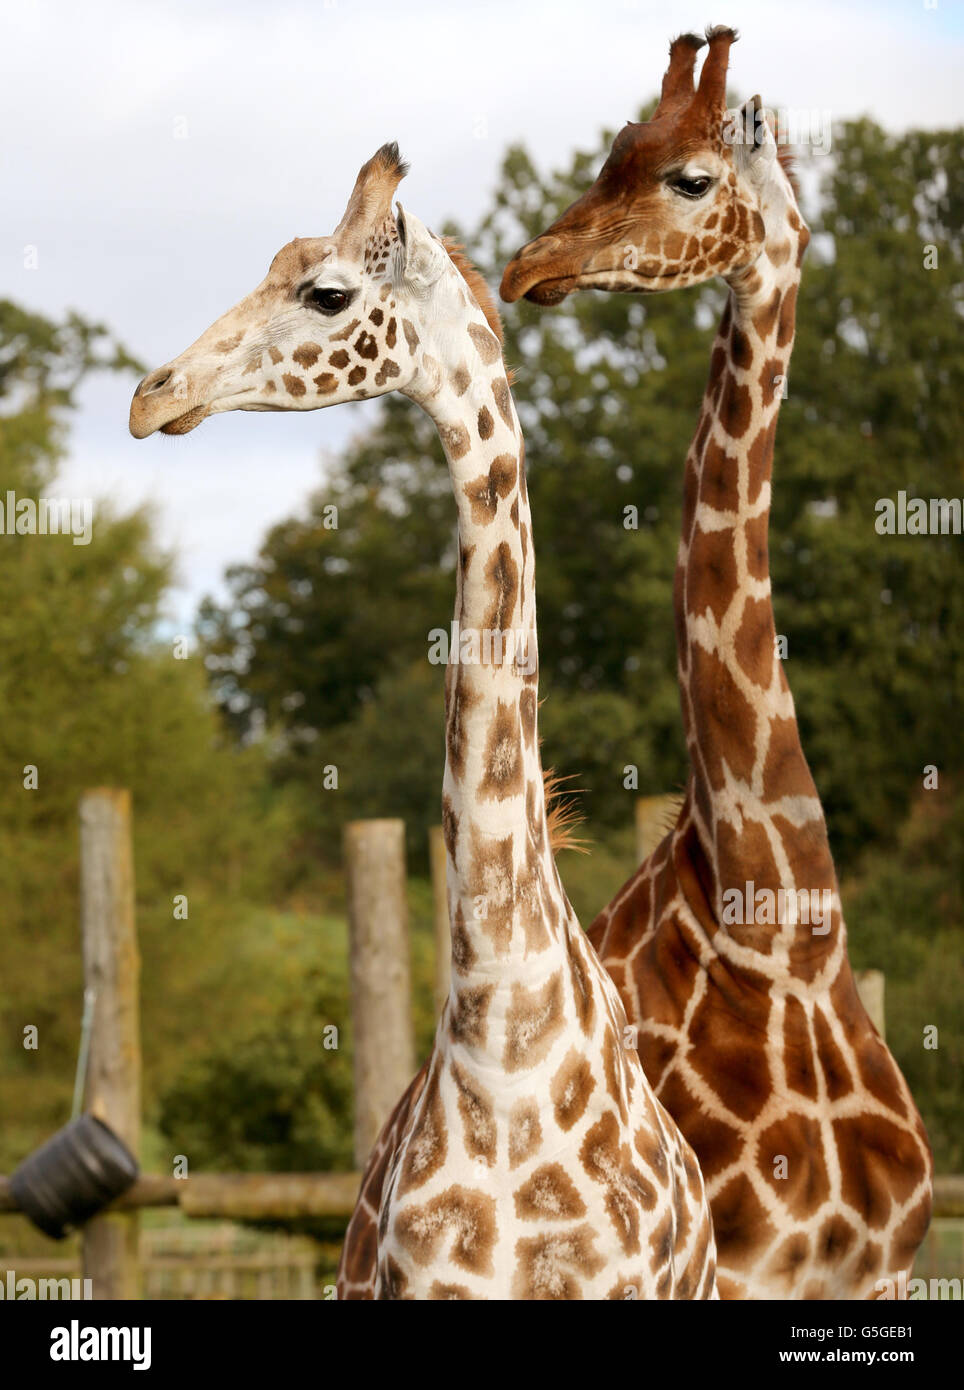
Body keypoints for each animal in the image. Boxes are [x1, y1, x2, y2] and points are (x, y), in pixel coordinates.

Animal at [499, 28, 933, 1299]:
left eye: (687, 178)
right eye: (606, 157)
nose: (527, 267)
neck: (778, 934)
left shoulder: (875, 1268)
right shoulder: (722, 1270)